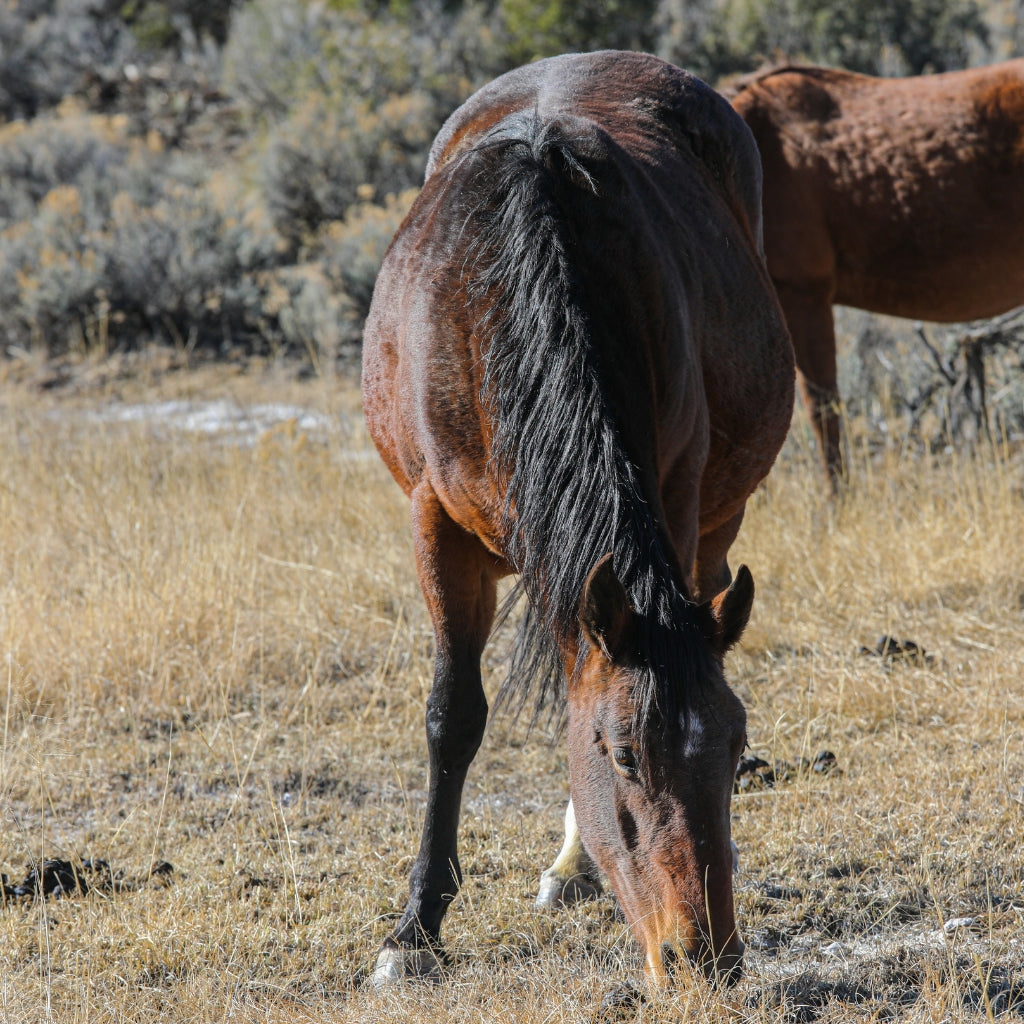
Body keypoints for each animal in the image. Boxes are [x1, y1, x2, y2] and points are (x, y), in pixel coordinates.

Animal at [361, 50, 794, 988]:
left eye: (736, 752)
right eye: (623, 753)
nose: (704, 958)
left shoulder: (673, 496)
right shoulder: (434, 526)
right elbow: (453, 714)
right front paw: (414, 929)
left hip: (718, 518)